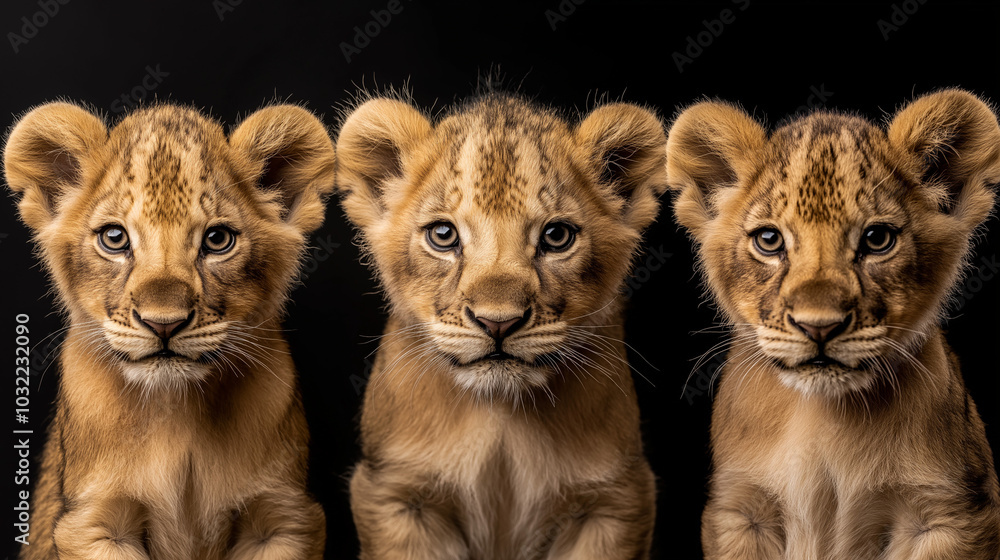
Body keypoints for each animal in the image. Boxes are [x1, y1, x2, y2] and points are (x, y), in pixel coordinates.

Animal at [4, 101, 335, 559]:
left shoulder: (283, 520)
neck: (177, 412)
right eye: (114, 238)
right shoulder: (92, 522)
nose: (164, 323)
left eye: (218, 240)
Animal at [335, 93, 667, 559]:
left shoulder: (614, 499)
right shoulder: (395, 493)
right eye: (443, 234)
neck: (502, 418)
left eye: (557, 236)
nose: (498, 322)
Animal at [667, 89, 1000, 559]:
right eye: (769, 240)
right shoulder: (739, 510)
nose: (818, 327)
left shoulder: (950, 513)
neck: (823, 413)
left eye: (877, 239)